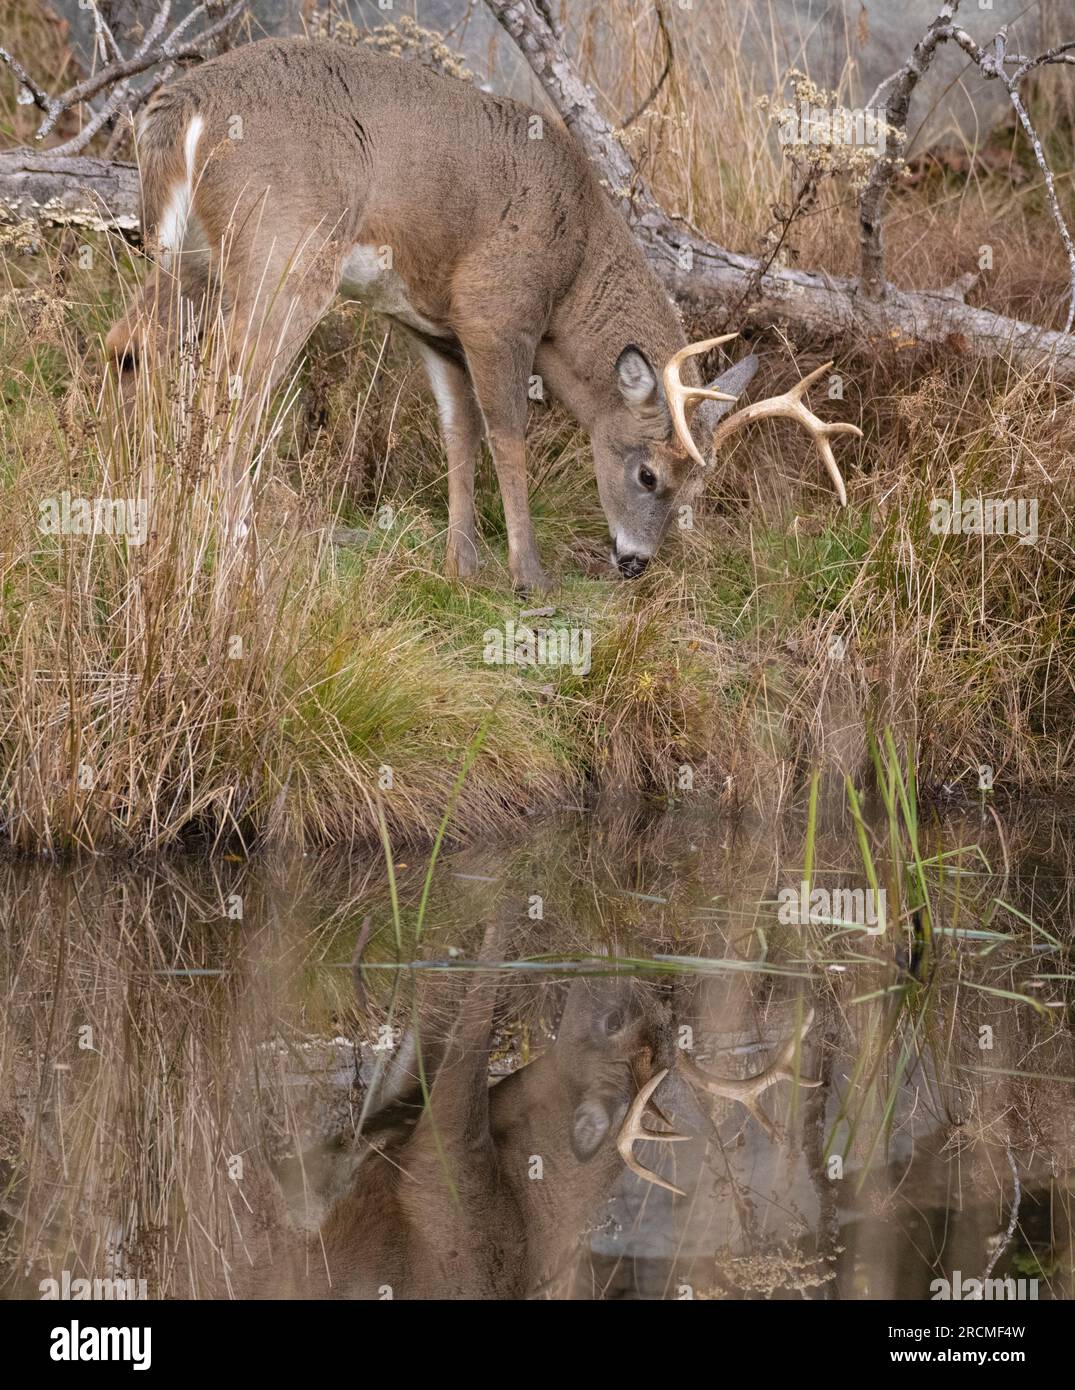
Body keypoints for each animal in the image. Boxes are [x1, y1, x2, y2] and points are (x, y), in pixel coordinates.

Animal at [106, 37, 861, 593]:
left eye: (697, 485)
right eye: (649, 474)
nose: (634, 563)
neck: (573, 263)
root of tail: (183, 105)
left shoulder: (432, 325)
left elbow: (459, 433)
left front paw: (460, 566)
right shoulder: (497, 310)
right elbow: (508, 433)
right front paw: (528, 576)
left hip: (189, 261)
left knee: (129, 348)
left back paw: (140, 511)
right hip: (286, 251)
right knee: (230, 384)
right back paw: (233, 543)